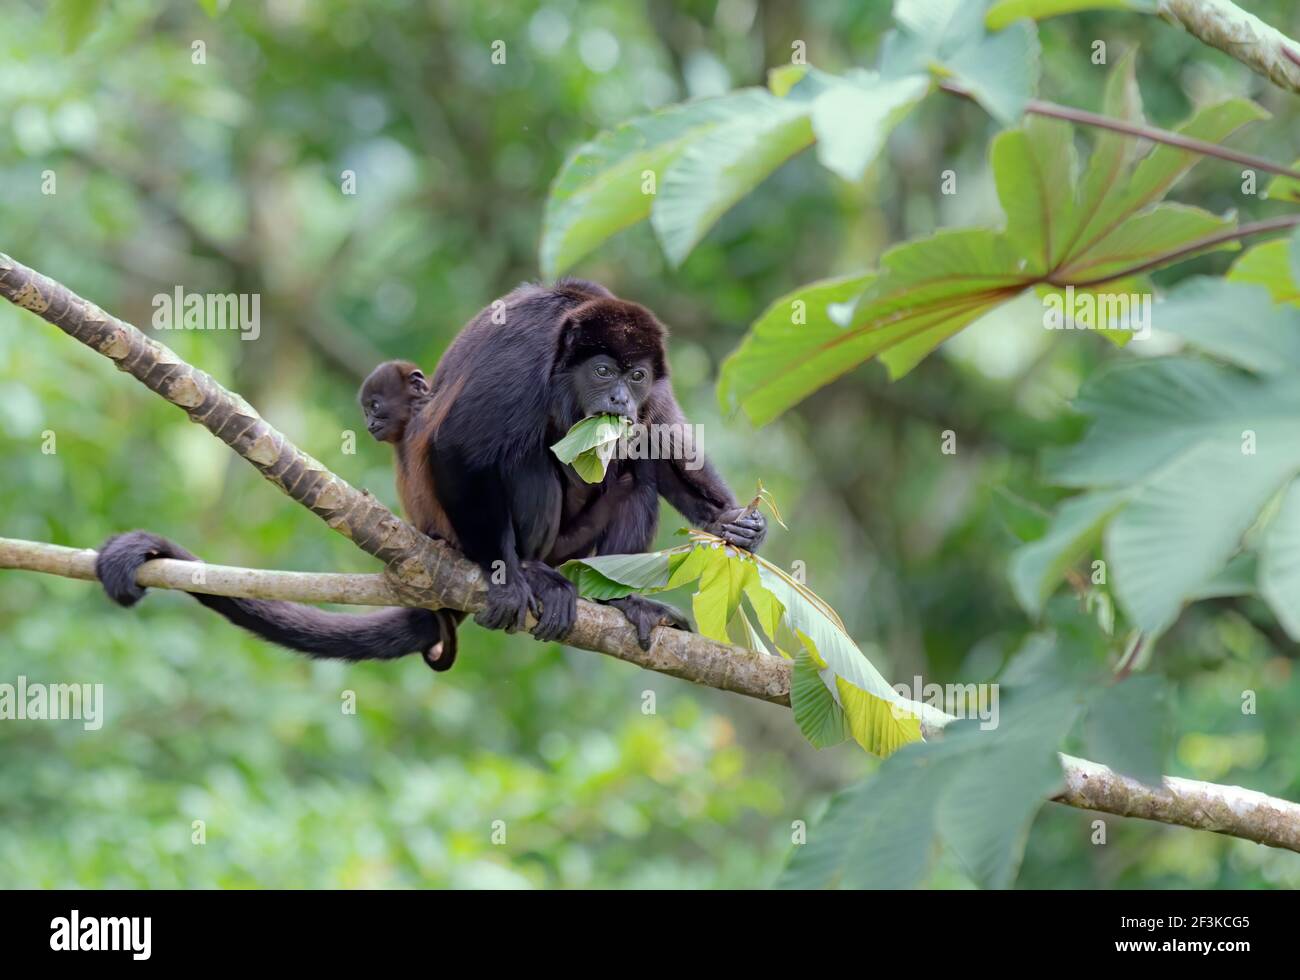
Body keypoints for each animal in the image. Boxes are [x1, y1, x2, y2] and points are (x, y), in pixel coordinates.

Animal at [97, 279, 765, 661]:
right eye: (603, 371)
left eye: (638, 375)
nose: (622, 399)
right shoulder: (527, 352)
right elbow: (459, 447)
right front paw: (504, 579)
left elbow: (660, 444)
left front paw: (733, 525)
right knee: (521, 456)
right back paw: (531, 572)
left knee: (629, 476)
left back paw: (625, 604)